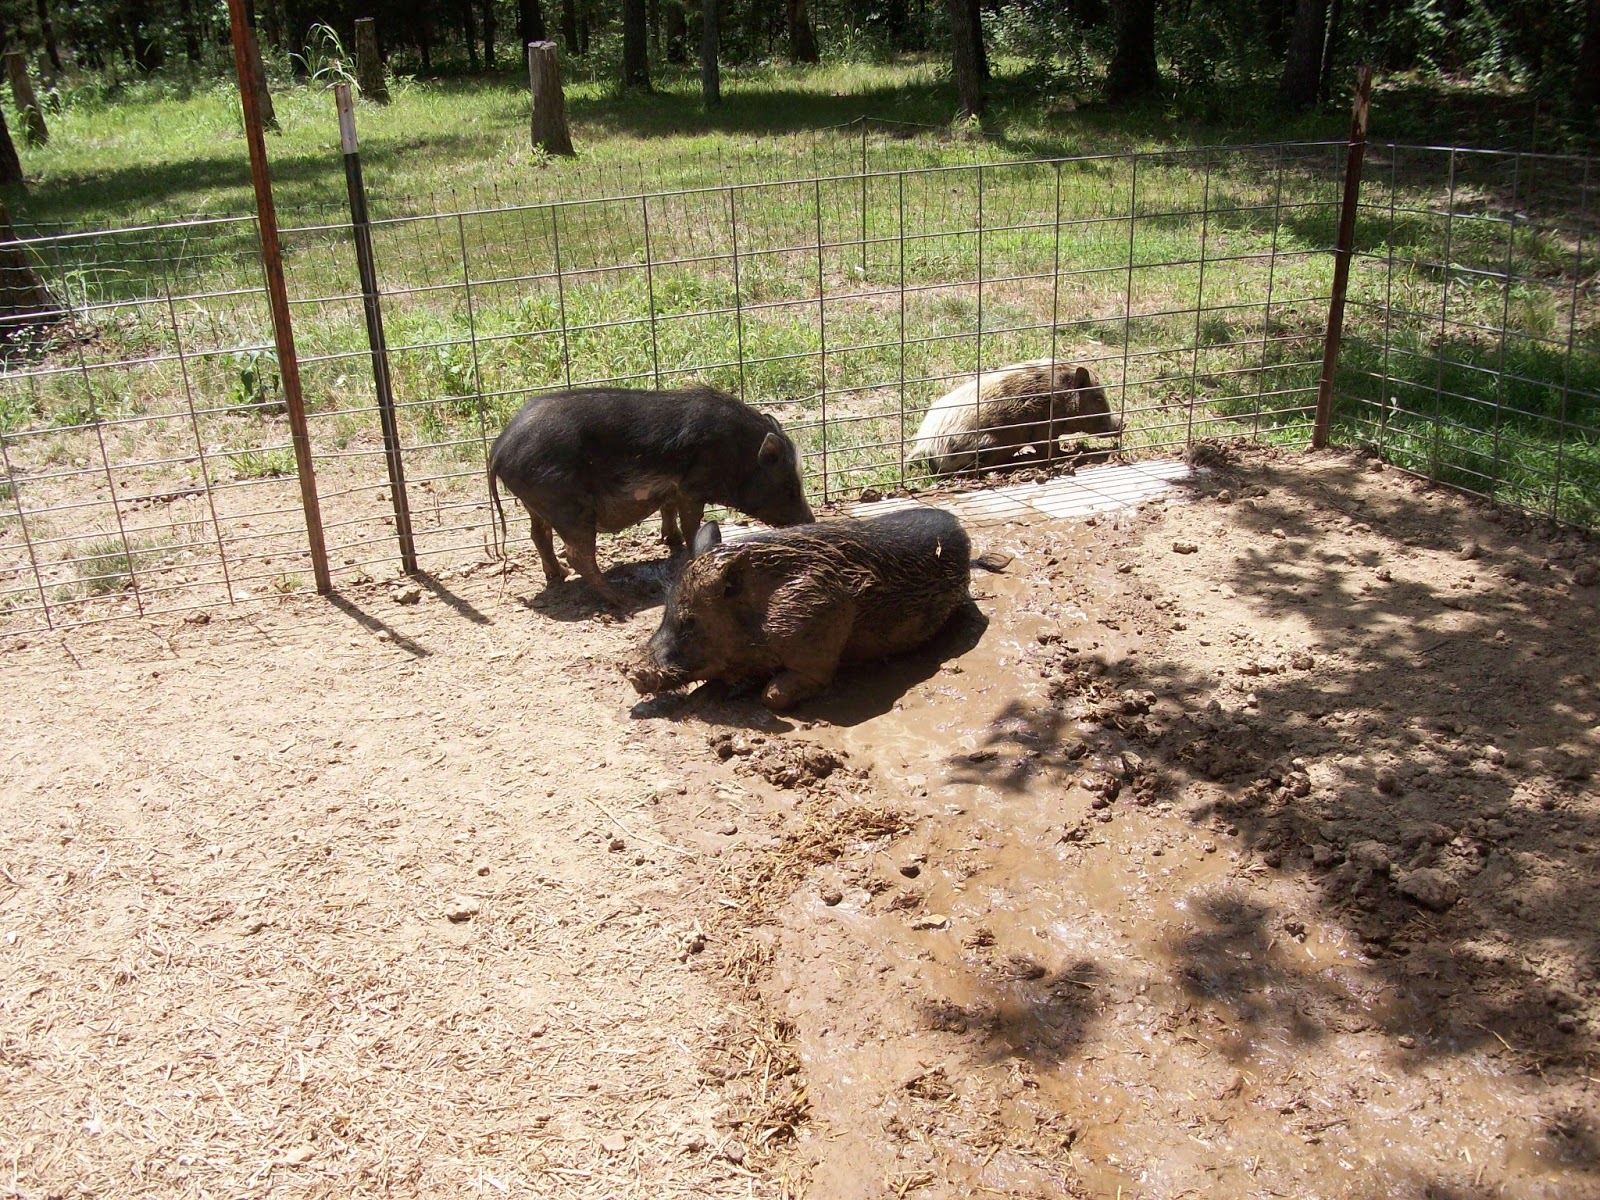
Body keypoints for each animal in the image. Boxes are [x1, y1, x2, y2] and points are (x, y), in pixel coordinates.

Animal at [488, 385, 814, 605]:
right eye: (789, 486)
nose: (809, 520)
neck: (738, 454)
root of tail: (499, 448)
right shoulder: (693, 486)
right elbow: (691, 521)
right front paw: (688, 545)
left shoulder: (671, 490)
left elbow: (668, 511)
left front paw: (671, 541)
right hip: (567, 505)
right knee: (577, 553)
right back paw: (622, 600)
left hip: (537, 503)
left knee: (538, 536)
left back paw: (560, 575)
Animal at [626, 507, 1002, 710]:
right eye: (665, 612)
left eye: (689, 621)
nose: (631, 672)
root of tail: (963, 532)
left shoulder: (826, 617)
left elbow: (774, 695)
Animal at [907, 360, 1123, 477]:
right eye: (1098, 398)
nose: (1122, 423)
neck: (1060, 397)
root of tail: (924, 445)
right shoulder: (1043, 428)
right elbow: (1048, 448)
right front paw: (1065, 456)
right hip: (985, 445)